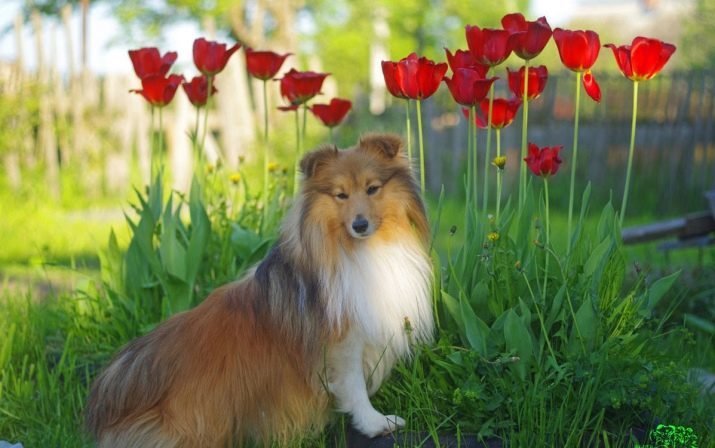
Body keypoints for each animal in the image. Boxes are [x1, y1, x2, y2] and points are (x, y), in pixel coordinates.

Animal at [84, 134, 430, 448]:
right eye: (340, 195)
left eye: (373, 189)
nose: (360, 225)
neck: (356, 250)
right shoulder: (342, 341)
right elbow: (354, 387)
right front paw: (377, 423)